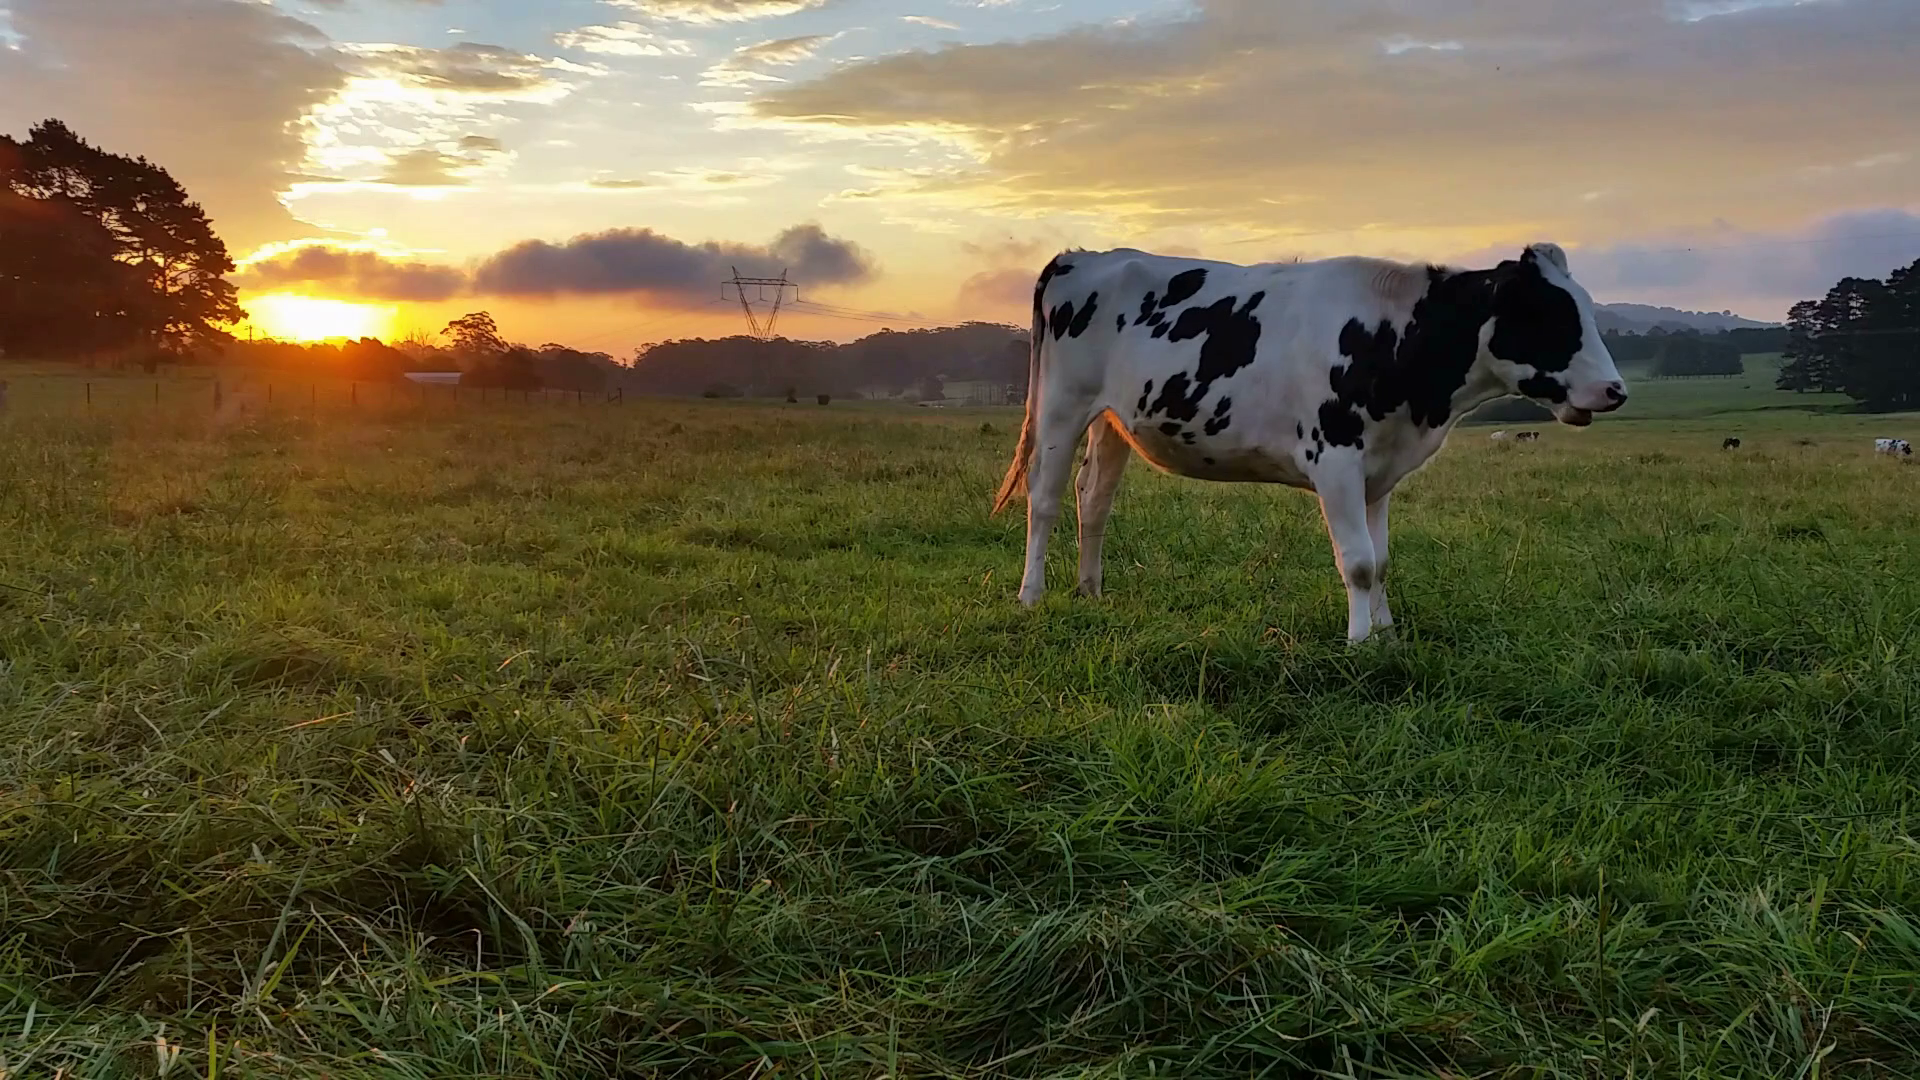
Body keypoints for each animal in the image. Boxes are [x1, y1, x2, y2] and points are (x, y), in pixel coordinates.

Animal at [991, 242, 1628, 644]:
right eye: (1547, 315)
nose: (1615, 390)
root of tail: (1081, 255)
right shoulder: (1337, 460)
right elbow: (1359, 562)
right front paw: (1360, 643)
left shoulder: (1380, 469)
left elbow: (1382, 558)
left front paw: (1387, 634)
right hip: (1061, 407)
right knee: (1044, 501)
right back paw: (1031, 595)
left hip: (1113, 418)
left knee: (1094, 500)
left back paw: (1091, 591)